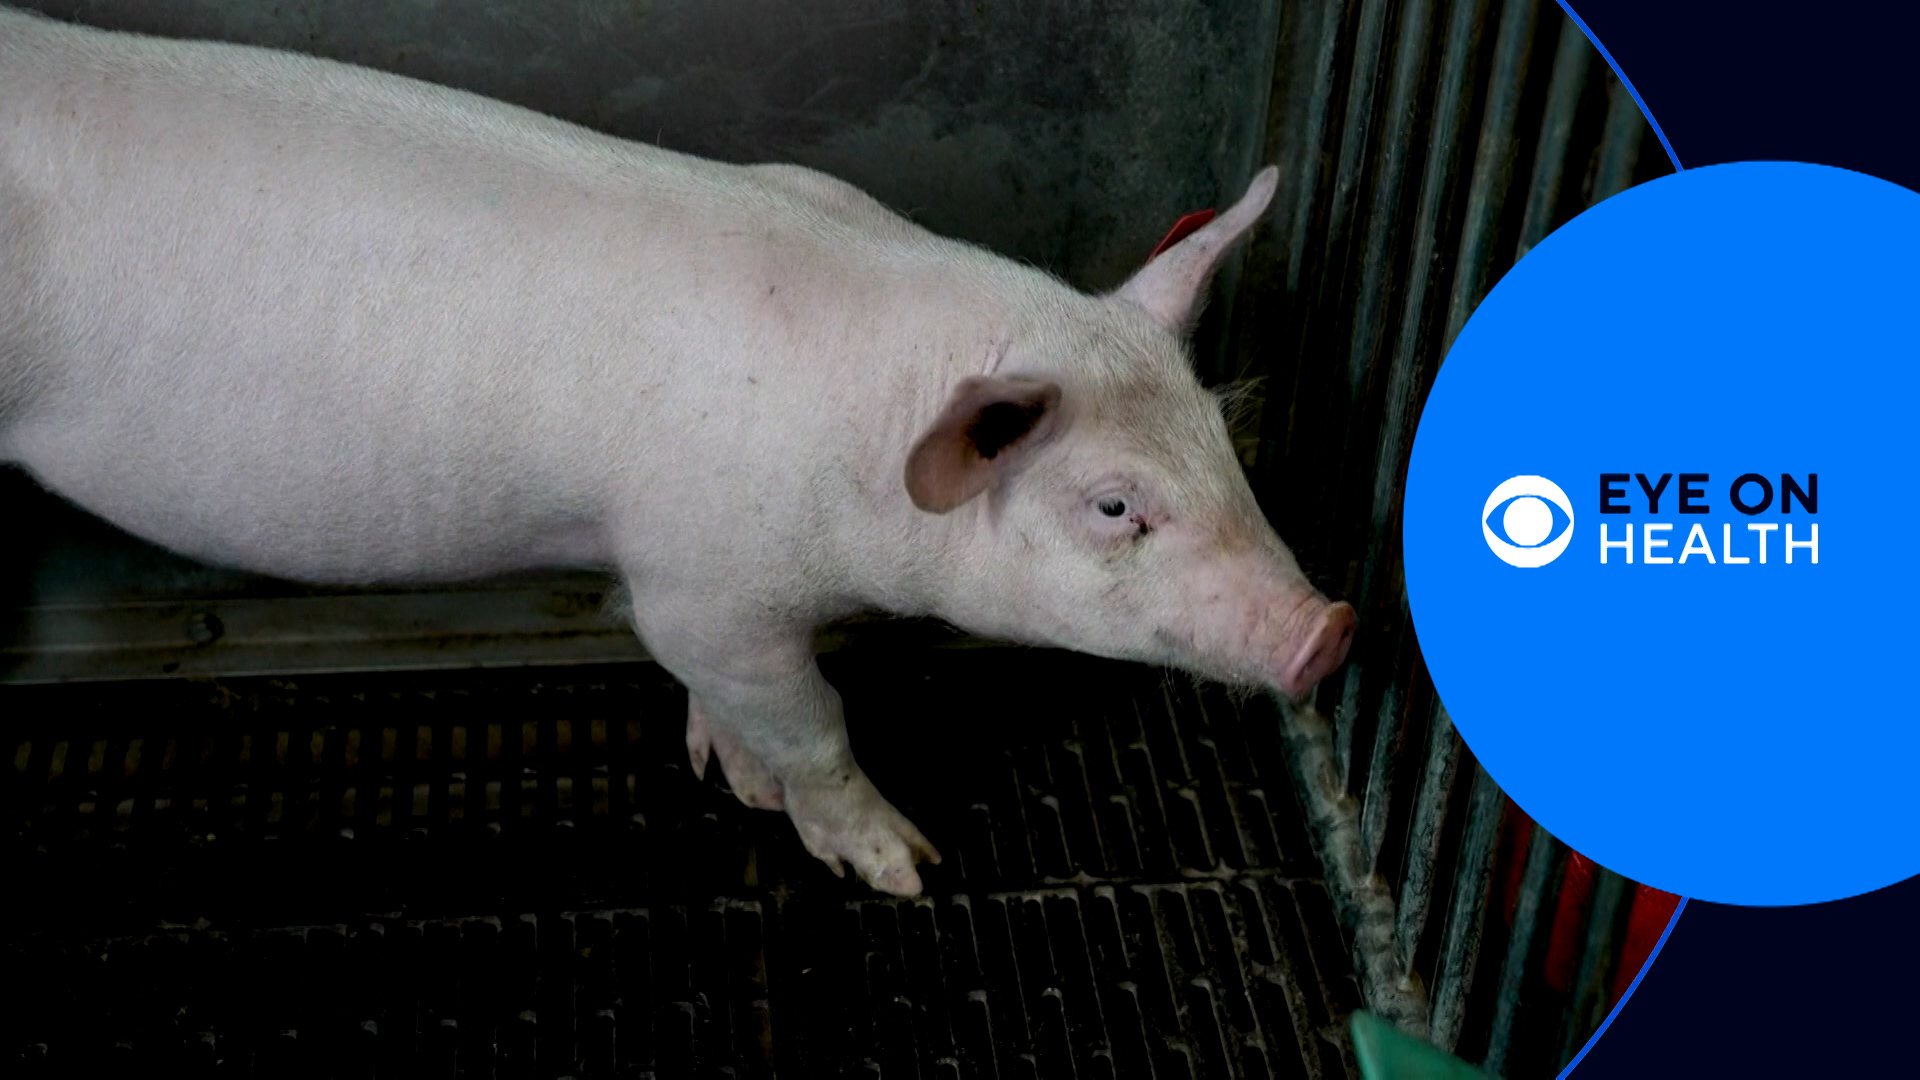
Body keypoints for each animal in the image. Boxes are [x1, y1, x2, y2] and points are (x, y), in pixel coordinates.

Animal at [0, 7, 1355, 895]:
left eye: (1224, 439)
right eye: (1115, 507)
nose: (1332, 629)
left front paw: (736, 777)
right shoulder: (701, 584)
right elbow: (811, 716)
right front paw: (902, 867)